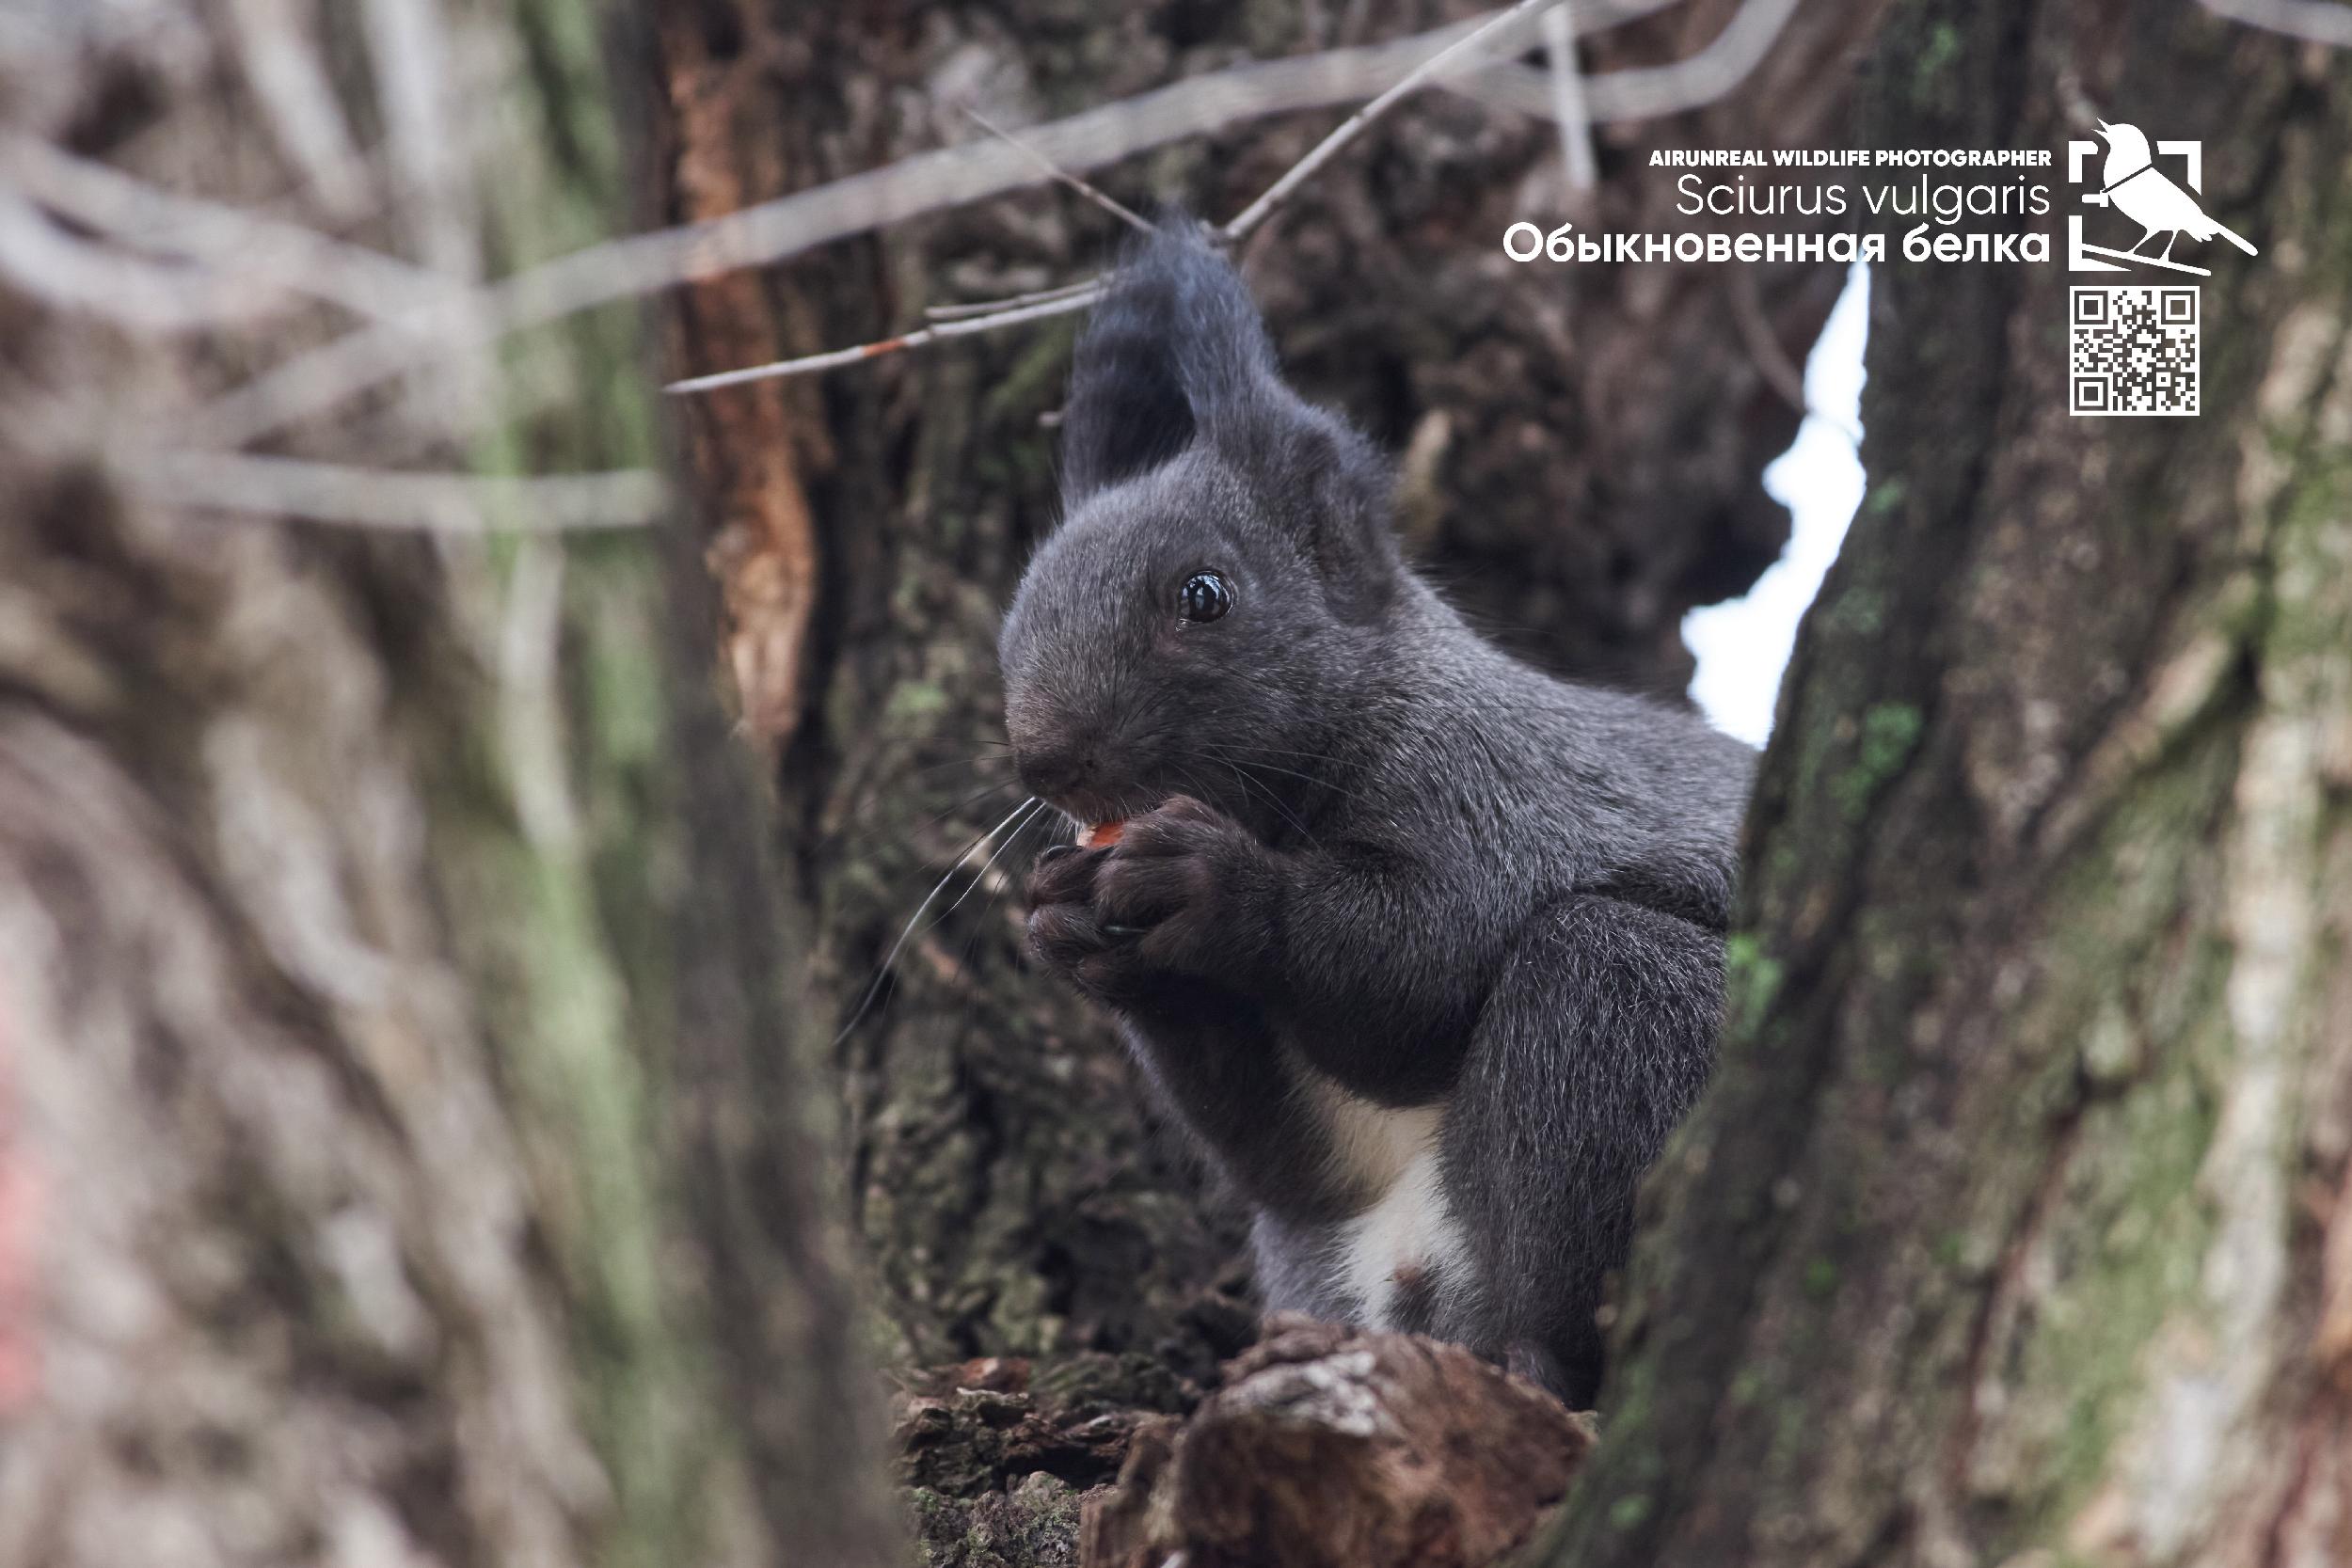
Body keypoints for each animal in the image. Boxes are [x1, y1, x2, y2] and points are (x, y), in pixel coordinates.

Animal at [993, 214, 1750, 1401]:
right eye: (1015, 606)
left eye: (1203, 595)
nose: (1044, 758)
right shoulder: (1313, 1151)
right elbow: (1277, 1150)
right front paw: (1071, 927)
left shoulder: (1492, 801)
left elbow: (1414, 967)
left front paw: (1215, 886)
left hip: (1639, 1020)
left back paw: (1538, 1360)